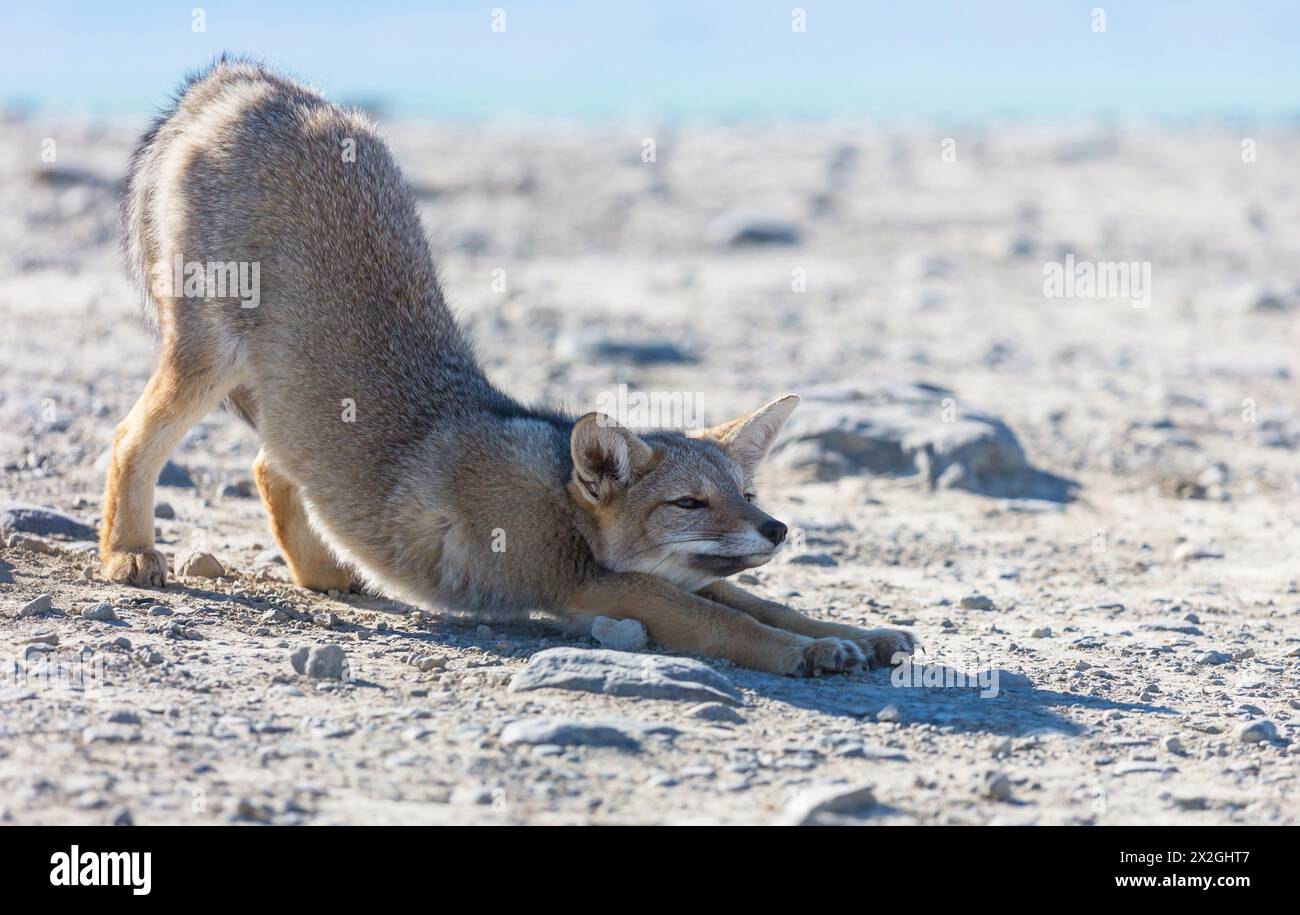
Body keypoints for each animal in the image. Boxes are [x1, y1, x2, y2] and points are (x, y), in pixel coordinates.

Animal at [101, 57, 917, 677]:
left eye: (747, 494)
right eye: (690, 503)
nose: (776, 528)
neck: (562, 501)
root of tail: (244, 76)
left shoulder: (653, 578)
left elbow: (767, 603)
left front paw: (857, 635)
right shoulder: (592, 587)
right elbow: (734, 625)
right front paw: (806, 654)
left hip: (282, 402)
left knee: (272, 466)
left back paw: (327, 572)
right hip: (206, 360)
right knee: (130, 437)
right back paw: (129, 553)